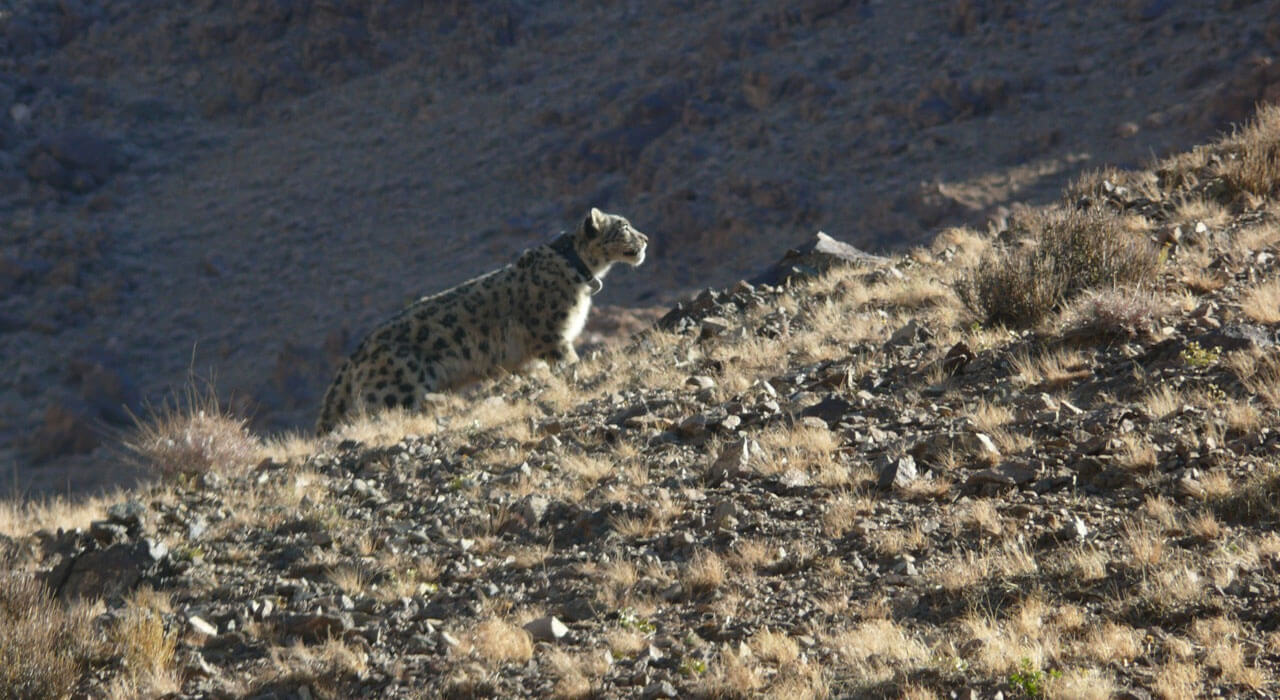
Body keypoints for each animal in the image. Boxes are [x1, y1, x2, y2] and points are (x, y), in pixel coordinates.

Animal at [316, 208, 648, 434]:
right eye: (624, 226)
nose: (645, 238)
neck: (582, 272)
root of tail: (356, 354)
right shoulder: (552, 336)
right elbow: (568, 362)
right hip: (395, 389)